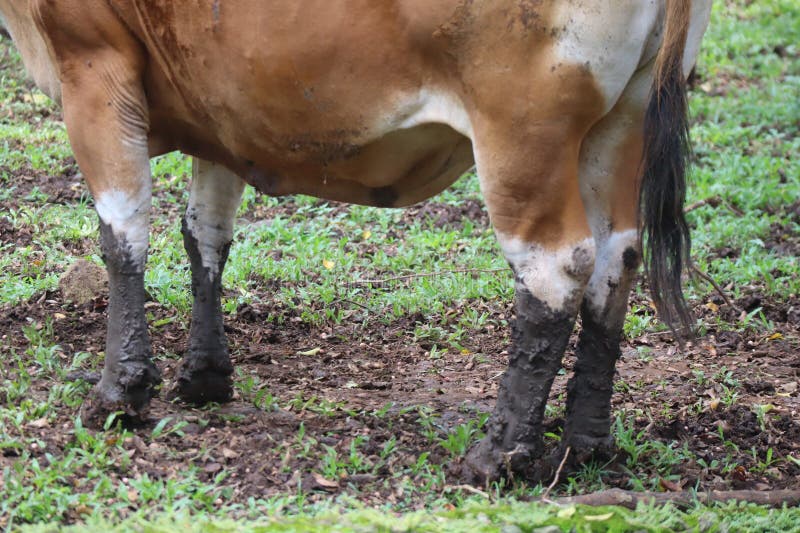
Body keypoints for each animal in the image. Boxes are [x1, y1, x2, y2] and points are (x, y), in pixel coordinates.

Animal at [0, 0, 712, 482]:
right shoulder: (218, 108)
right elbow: (205, 234)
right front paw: (204, 375)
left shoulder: (93, 64)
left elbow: (124, 236)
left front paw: (119, 393)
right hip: (626, 117)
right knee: (616, 260)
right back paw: (587, 442)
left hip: (522, 135)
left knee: (554, 272)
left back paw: (499, 454)